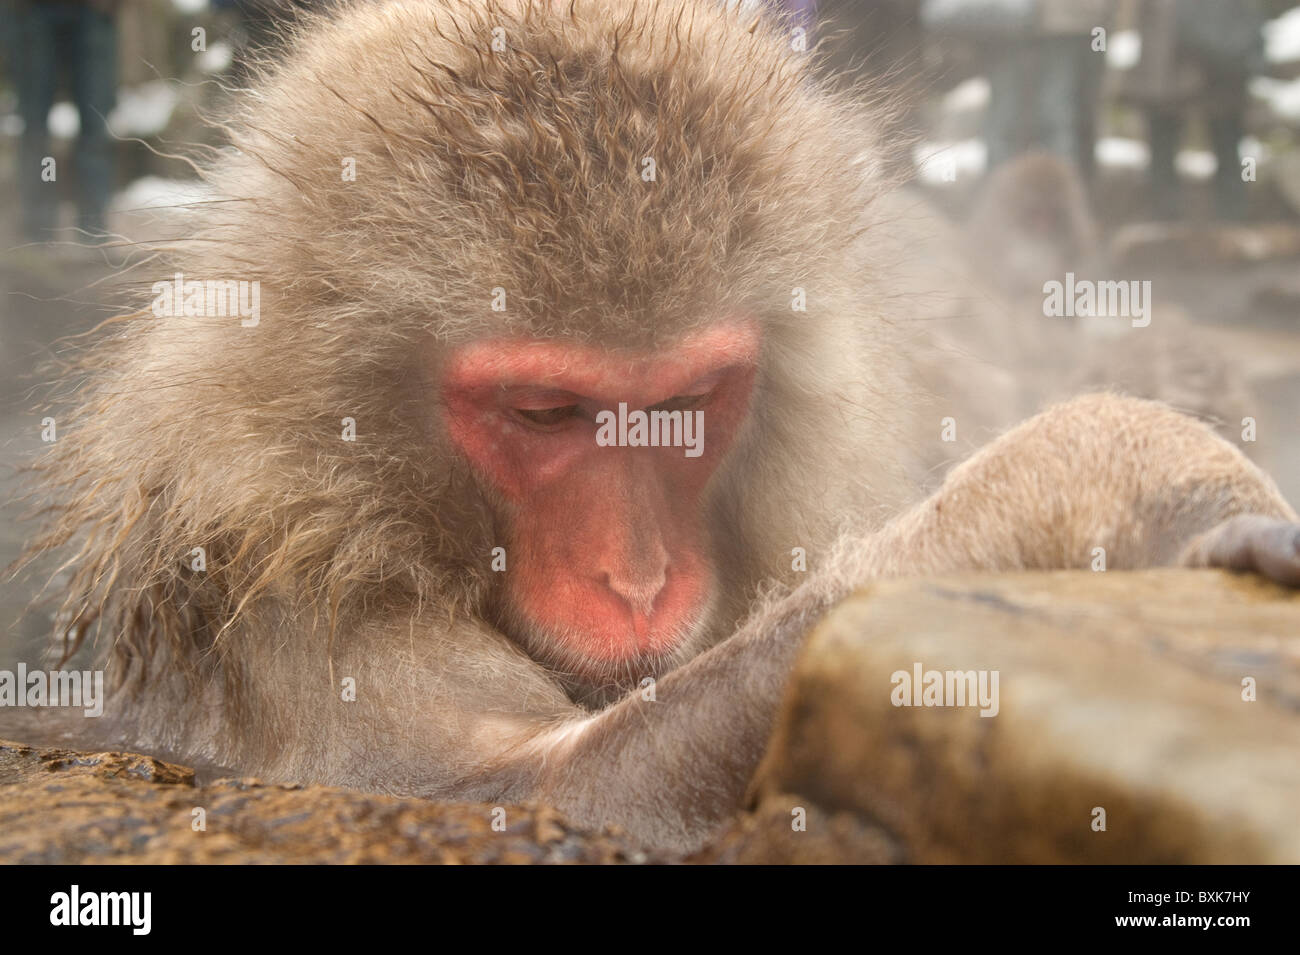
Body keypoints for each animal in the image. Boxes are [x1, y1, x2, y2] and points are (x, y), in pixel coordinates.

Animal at [7, 0, 1300, 854]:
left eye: (683, 407)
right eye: (544, 412)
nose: (635, 581)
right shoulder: (292, 610)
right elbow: (546, 787)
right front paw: (1120, 473)